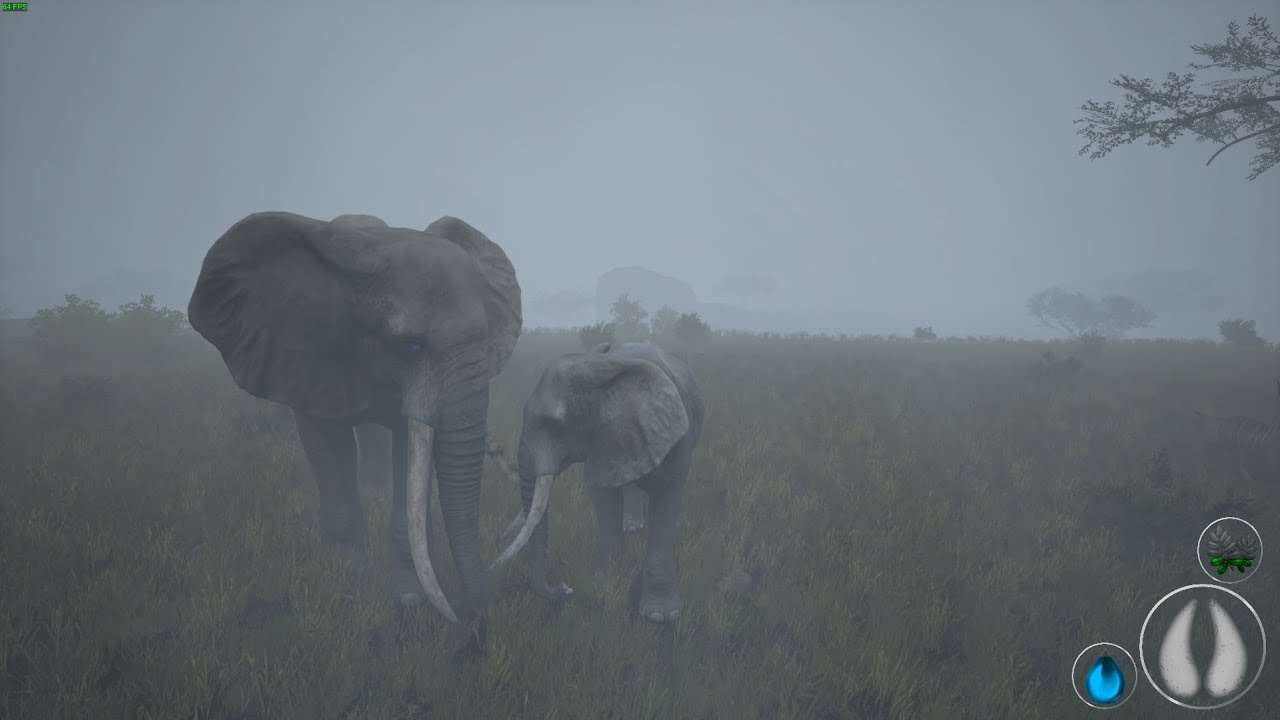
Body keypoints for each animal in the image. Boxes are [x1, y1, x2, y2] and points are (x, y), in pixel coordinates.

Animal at [188, 211, 521, 623]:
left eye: (488, 338)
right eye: (411, 346)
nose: (461, 609)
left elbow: (409, 454)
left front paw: (408, 597)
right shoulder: (309, 353)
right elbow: (329, 449)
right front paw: (346, 584)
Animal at [490, 340, 703, 623]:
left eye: (554, 424)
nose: (564, 587)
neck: (600, 367)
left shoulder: (674, 434)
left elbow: (666, 499)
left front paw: (661, 616)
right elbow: (605, 498)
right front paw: (605, 587)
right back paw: (631, 527)